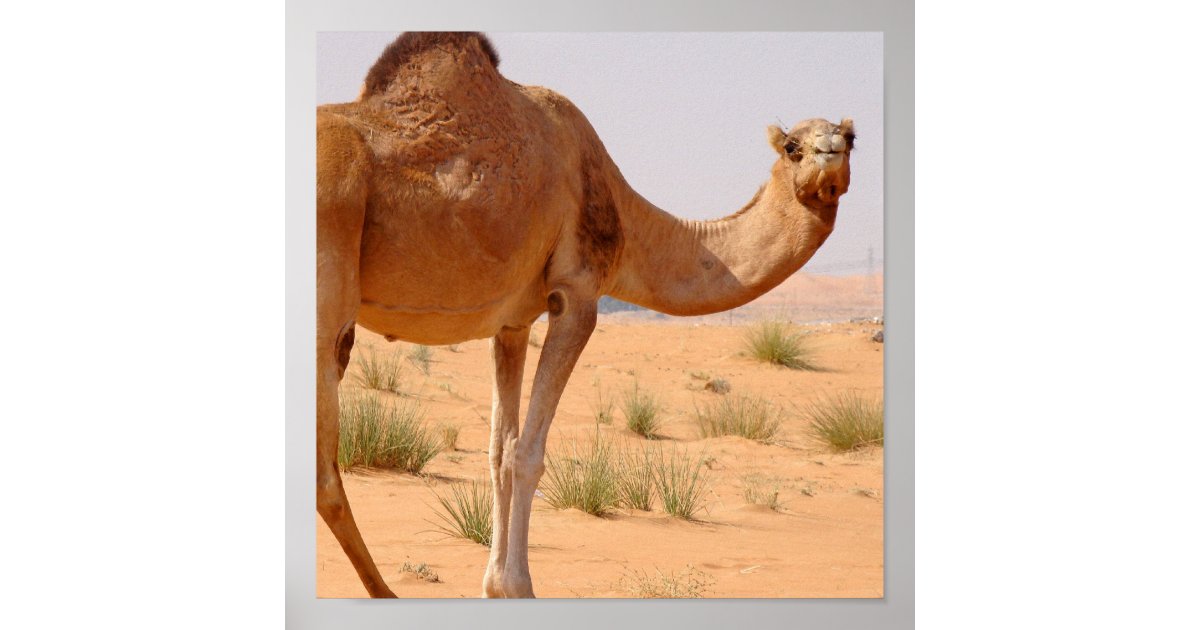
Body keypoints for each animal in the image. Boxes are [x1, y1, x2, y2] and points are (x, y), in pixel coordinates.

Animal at [316, 32, 855, 598]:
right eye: (793, 146)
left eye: (851, 137)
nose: (831, 149)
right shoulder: (576, 294)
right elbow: (527, 454)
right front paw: (518, 586)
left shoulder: (511, 323)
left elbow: (499, 451)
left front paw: (493, 585)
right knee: (324, 467)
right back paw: (385, 592)